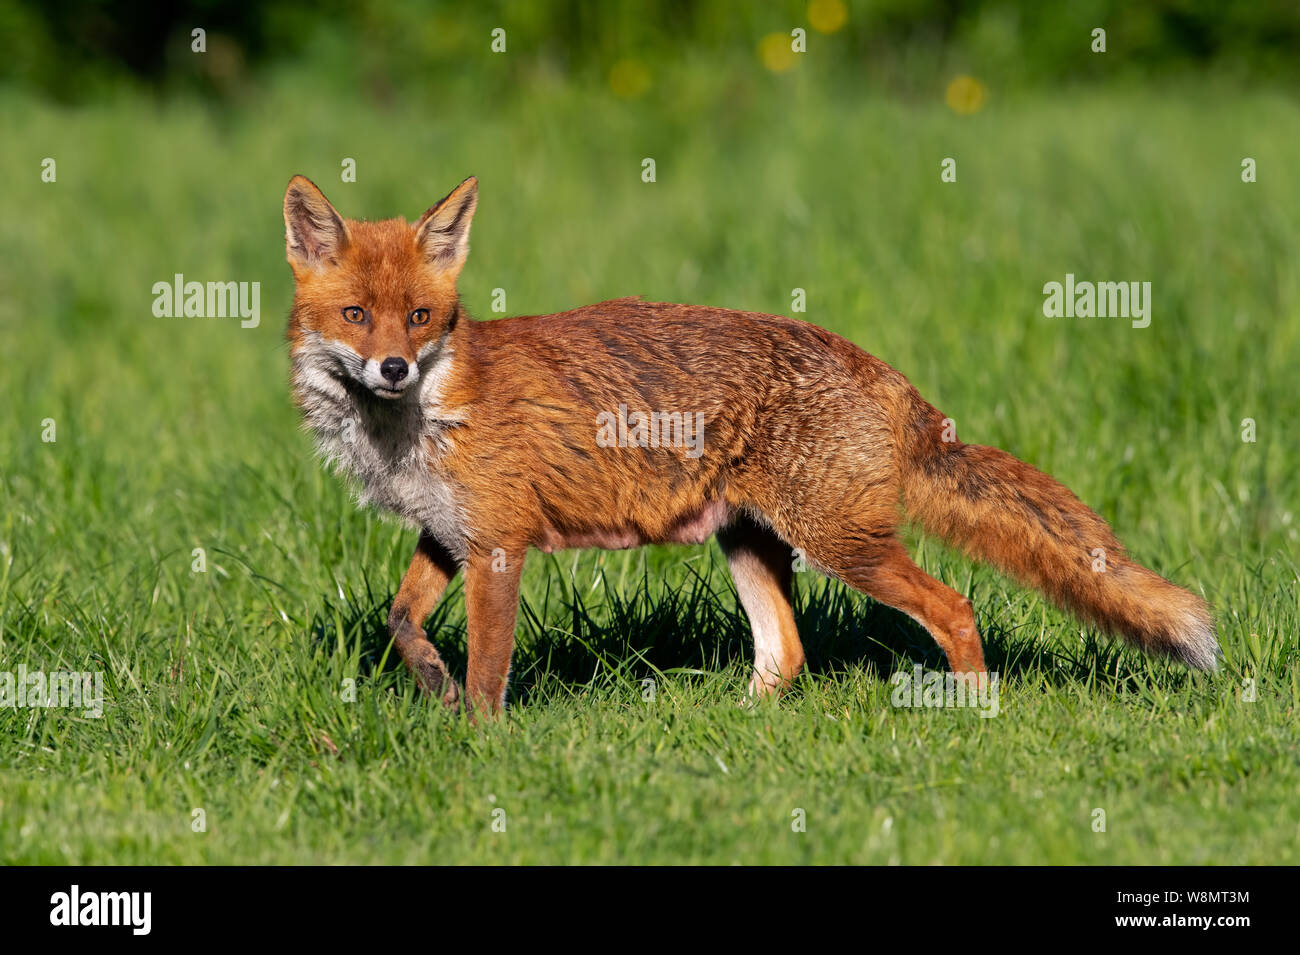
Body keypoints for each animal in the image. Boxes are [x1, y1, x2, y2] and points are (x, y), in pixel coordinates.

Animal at [282, 173, 1219, 716]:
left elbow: (488, 669)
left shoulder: (500, 545)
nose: (394, 368)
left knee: (953, 607)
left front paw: (481, 746)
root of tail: (878, 367)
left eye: (421, 316)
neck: (422, 417)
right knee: (789, 653)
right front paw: (434, 689)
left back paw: (972, 718)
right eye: (356, 315)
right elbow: (402, 620)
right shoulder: (449, 533)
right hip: (749, 541)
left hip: (841, 544)